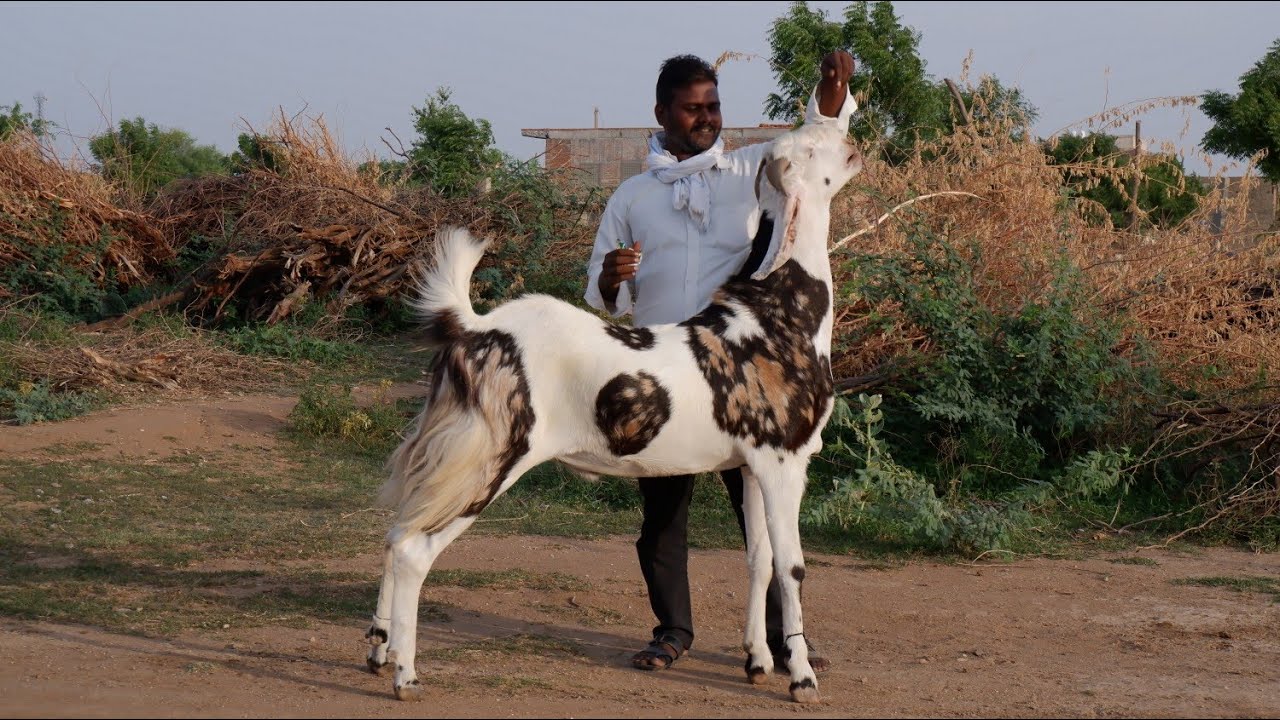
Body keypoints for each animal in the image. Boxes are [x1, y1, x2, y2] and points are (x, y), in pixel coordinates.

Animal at [364, 121, 863, 704]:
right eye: (807, 147)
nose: (845, 132)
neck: (780, 316)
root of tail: (475, 328)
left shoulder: (750, 465)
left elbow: (758, 561)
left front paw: (759, 661)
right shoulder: (786, 460)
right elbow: (792, 567)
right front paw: (801, 677)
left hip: (446, 457)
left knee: (394, 532)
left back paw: (378, 650)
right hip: (488, 463)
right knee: (413, 550)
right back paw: (406, 675)